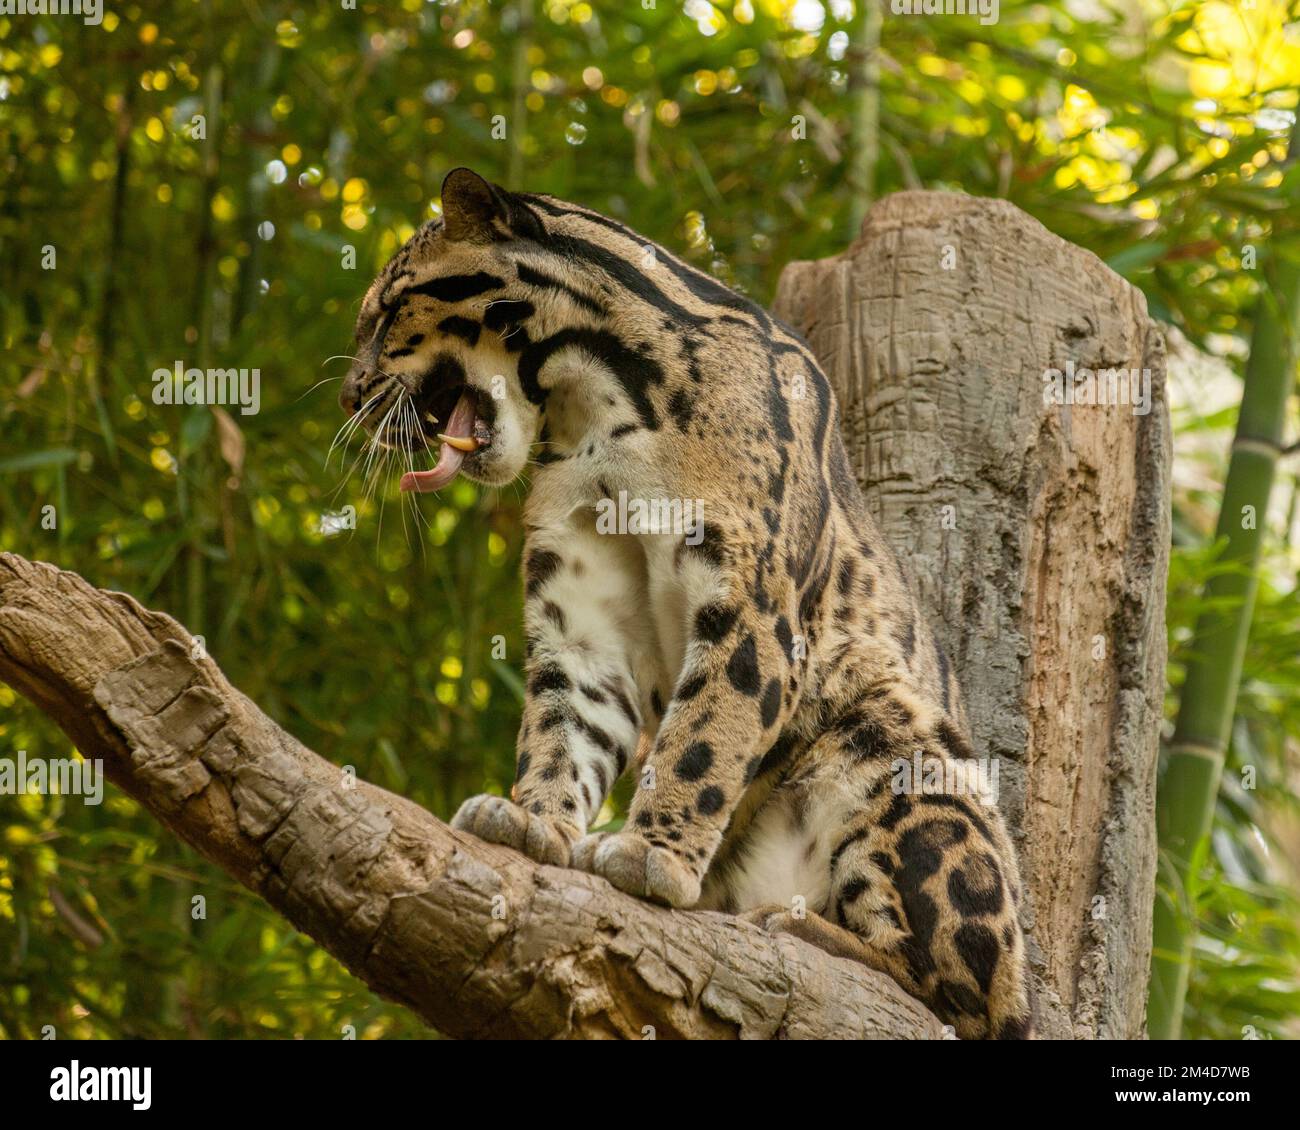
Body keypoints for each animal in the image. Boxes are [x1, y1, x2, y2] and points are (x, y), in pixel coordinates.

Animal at [337, 168, 1034, 1039]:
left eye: (389, 307)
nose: (348, 396)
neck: (603, 406)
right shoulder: (582, 617)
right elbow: (563, 727)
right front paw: (537, 820)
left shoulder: (752, 603)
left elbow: (704, 736)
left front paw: (651, 855)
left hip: (895, 732)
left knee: (959, 997)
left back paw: (801, 926)